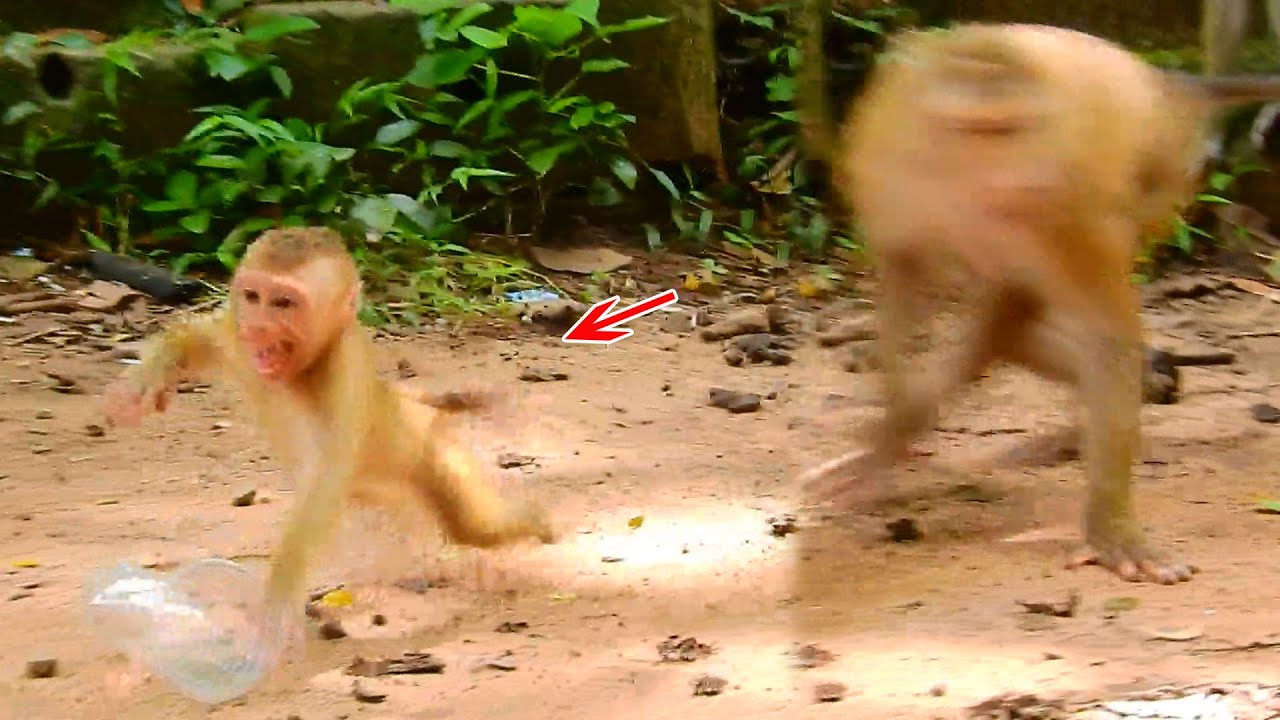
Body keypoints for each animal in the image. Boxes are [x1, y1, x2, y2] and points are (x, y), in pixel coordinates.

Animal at [104, 227, 557, 635]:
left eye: (284, 302)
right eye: (253, 297)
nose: (259, 327)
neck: (300, 371)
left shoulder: (343, 378)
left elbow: (322, 486)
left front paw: (277, 600)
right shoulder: (237, 337)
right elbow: (201, 338)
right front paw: (147, 378)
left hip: (434, 452)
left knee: (476, 526)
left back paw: (536, 523)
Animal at [795, 11, 1280, 584]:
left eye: (1019, 129)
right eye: (986, 132)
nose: (1028, 179)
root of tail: (1166, 82)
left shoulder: (1064, 199)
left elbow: (1100, 330)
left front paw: (1112, 531)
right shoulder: (888, 178)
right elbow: (902, 281)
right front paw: (893, 434)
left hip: (1161, 173)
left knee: (1024, 315)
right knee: (1013, 328)